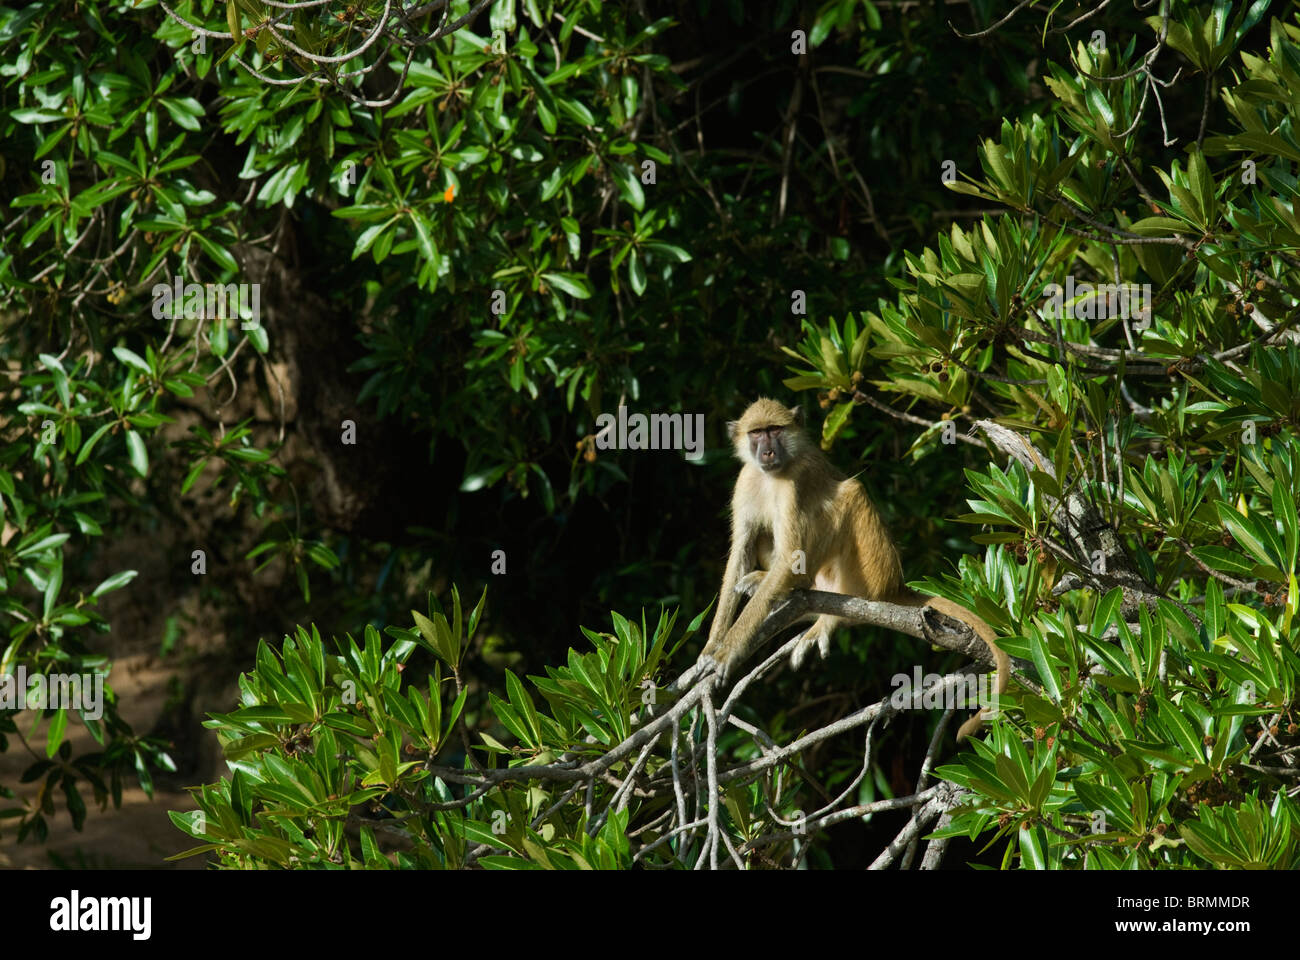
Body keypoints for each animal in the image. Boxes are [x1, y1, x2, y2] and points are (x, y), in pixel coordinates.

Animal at [697, 397, 1009, 741]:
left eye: (775, 430)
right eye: (757, 433)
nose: (767, 452)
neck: (771, 476)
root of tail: (893, 585)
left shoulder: (795, 484)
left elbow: (792, 554)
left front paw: (730, 651)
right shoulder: (746, 480)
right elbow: (740, 551)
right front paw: (712, 647)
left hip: (869, 571)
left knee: (850, 494)